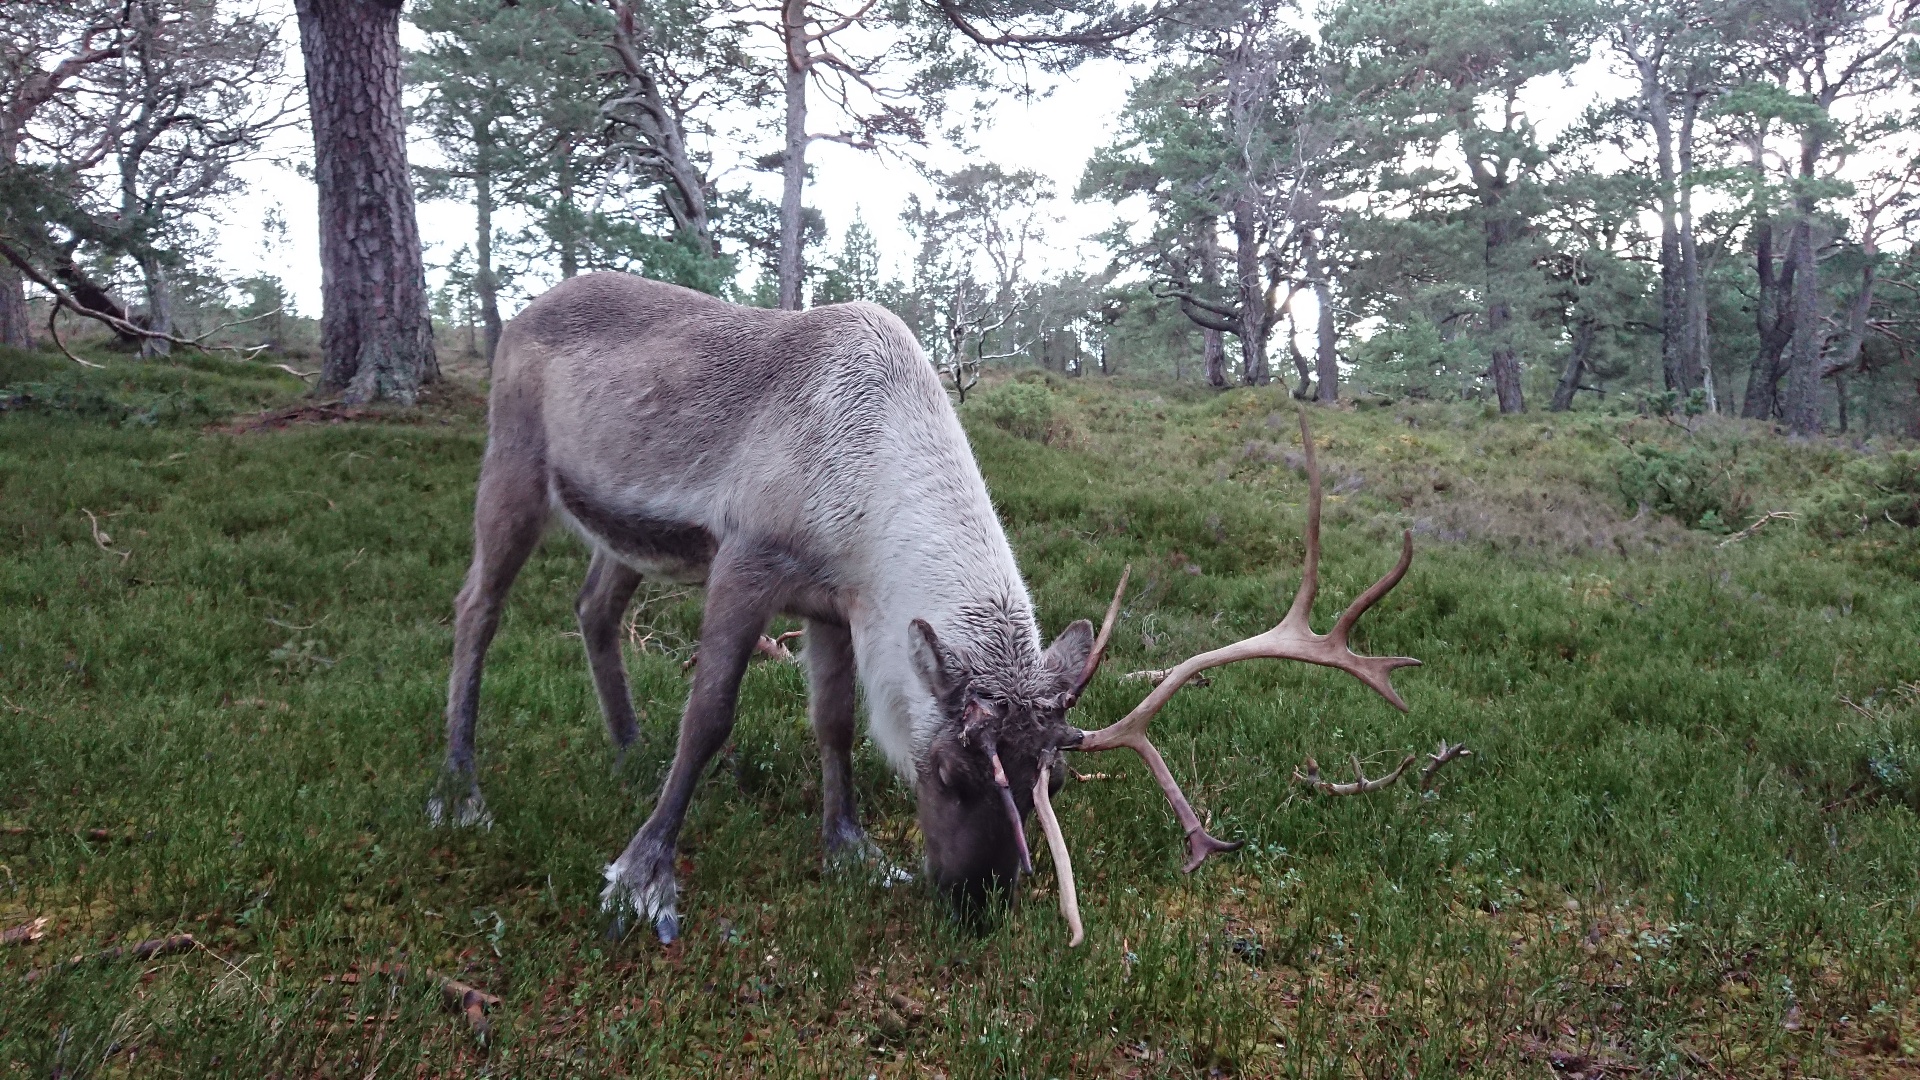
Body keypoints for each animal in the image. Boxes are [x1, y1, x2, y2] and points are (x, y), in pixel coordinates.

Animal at [431, 272, 1425, 946]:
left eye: (1051, 776)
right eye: (949, 772)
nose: (978, 904)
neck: (865, 486)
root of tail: (525, 307)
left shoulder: (832, 604)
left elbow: (834, 722)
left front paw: (848, 846)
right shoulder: (748, 562)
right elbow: (710, 716)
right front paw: (644, 878)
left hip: (622, 532)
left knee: (592, 607)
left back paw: (628, 748)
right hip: (513, 459)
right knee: (476, 606)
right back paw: (461, 789)